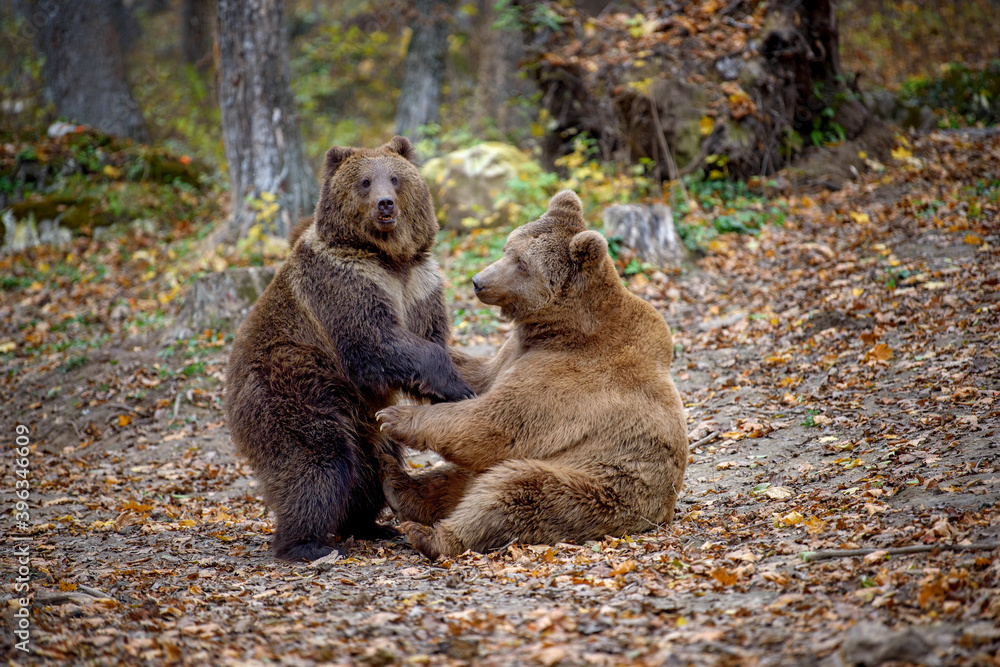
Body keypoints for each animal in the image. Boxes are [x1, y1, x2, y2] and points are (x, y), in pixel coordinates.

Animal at [225, 135, 475, 562]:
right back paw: (307, 542)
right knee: (317, 457)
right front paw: (457, 385)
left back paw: (370, 525)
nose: (385, 204)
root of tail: (229, 392)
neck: (387, 258)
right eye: (364, 181)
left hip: (362, 412)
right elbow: (374, 342)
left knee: (372, 461)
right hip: (296, 383)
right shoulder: (346, 283)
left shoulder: (420, 286)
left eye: (395, 178)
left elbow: (426, 339)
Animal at [375, 190, 688, 559]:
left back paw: (431, 535)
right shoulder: (515, 352)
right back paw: (397, 482)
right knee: (459, 479)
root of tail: (661, 513)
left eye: (522, 263)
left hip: (603, 485)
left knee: (517, 490)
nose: (478, 281)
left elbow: (496, 422)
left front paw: (393, 417)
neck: (561, 328)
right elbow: (477, 376)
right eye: (506, 248)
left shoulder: (568, 377)